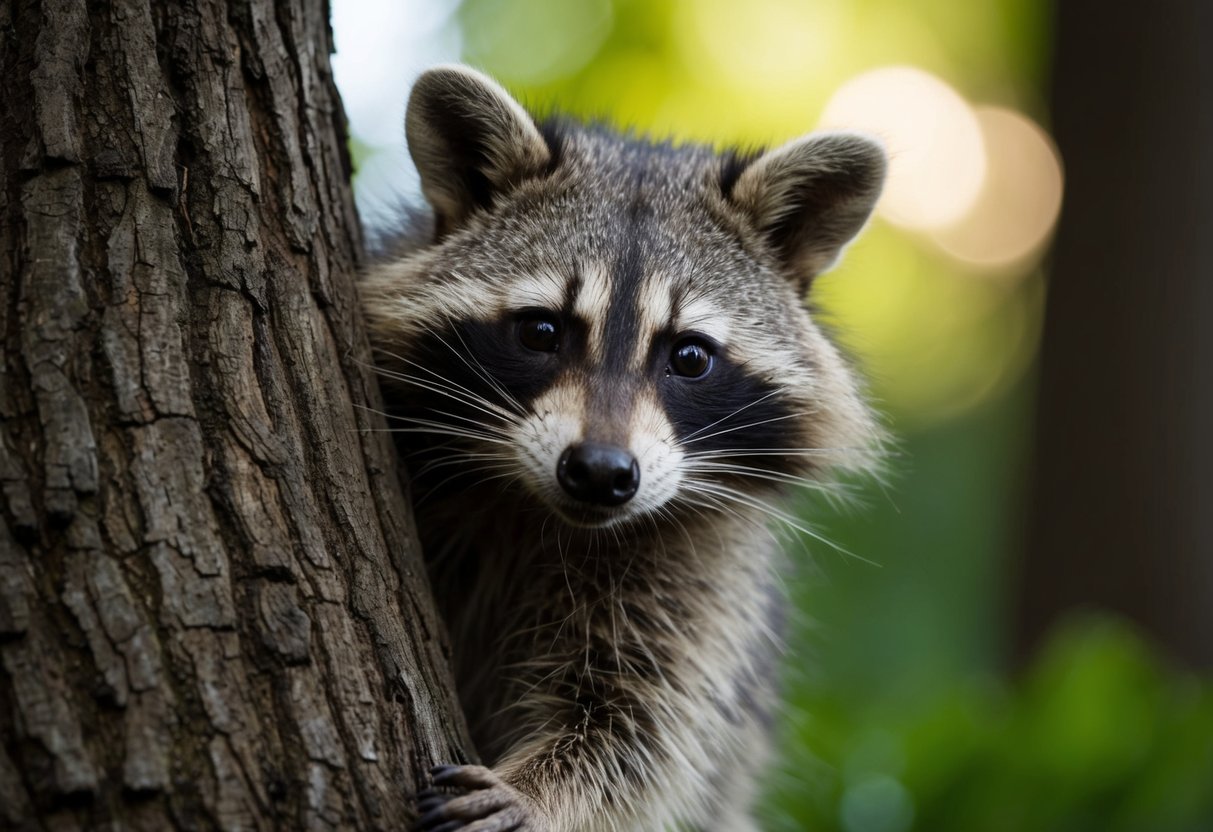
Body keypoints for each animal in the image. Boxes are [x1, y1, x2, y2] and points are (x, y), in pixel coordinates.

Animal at [361, 65, 886, 832]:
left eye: (690, 356)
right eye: (541, 331)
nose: (600, 473)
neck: (541, 514)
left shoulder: (703, 575)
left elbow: (640, 733)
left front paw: (539, 791)